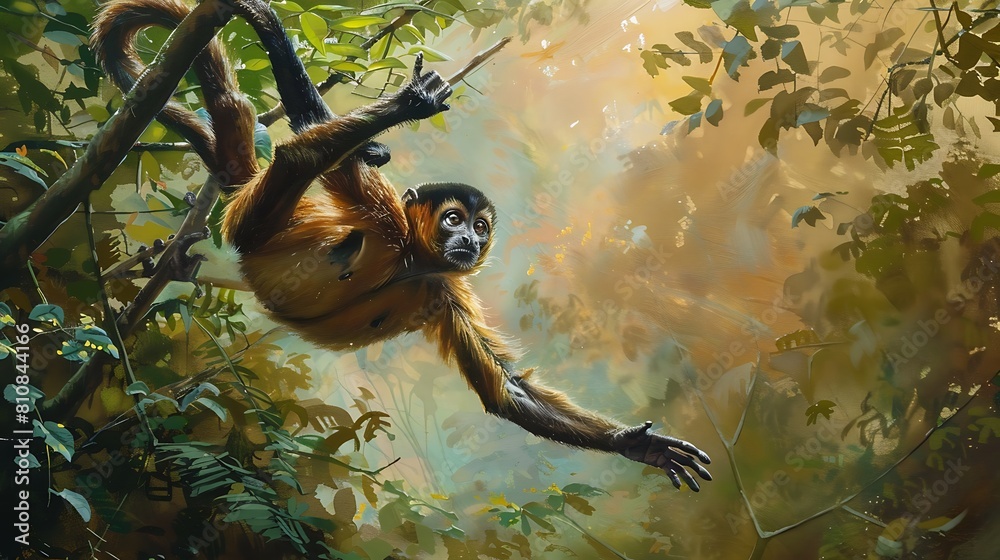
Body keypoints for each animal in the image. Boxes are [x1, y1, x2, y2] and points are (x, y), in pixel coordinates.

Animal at [92, 0, 712, 491]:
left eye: (480, 228)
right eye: (454, 219)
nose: (466, 240)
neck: (410, 261)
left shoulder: (444, 287)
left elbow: (508, 394)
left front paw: (638, 445)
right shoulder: (386, 219)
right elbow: (312, 132)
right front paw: (402, 103)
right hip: (254, 221)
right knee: (296, 155)